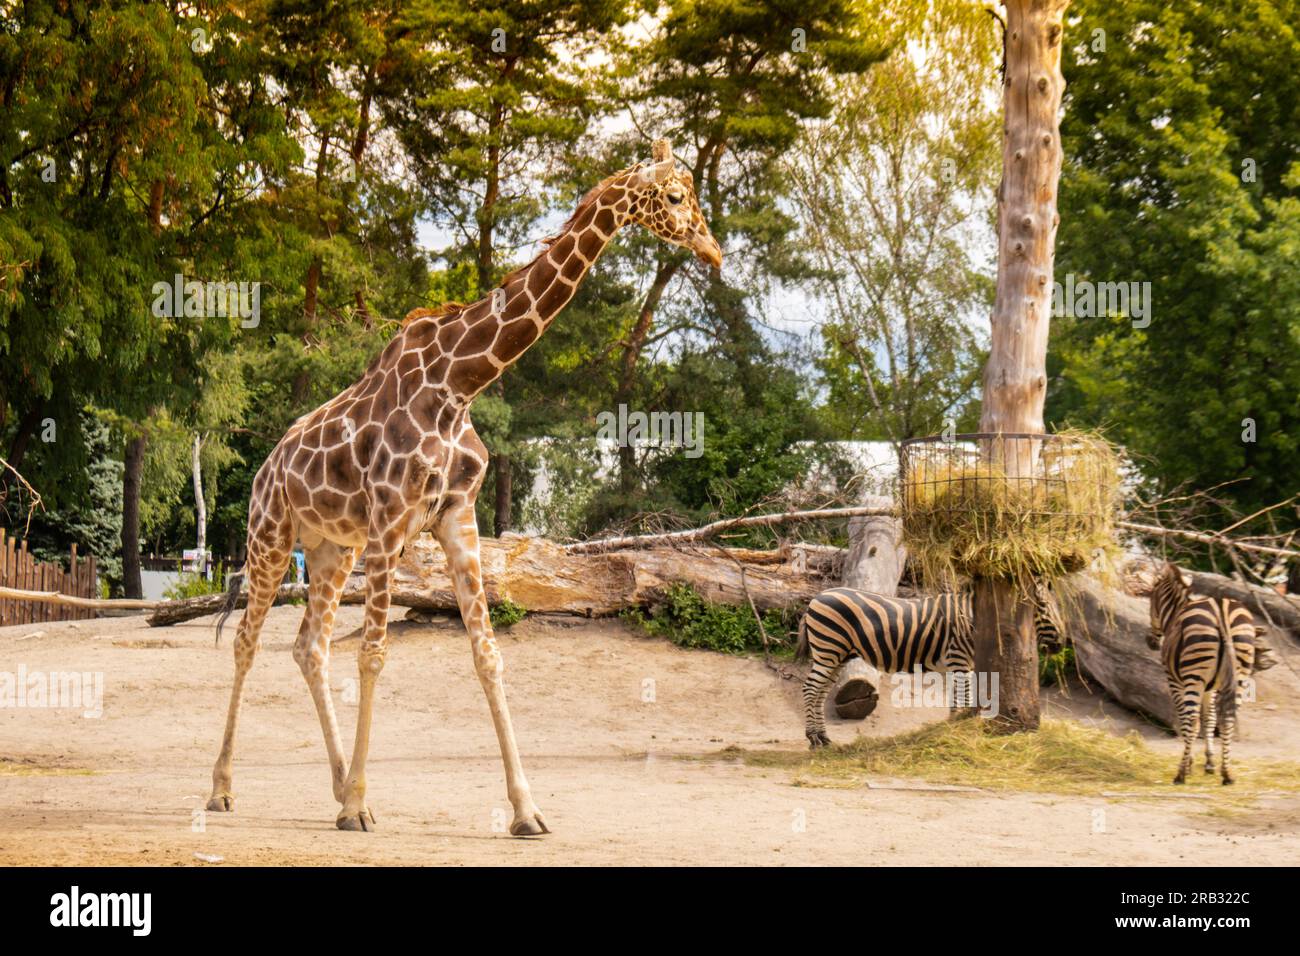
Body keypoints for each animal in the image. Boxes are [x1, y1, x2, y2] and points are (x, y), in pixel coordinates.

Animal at [207, 139, 722, 835]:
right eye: (674, 196)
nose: (713, 250)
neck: (460, 384)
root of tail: (267, 467)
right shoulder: (391, 519)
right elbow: (375, 654)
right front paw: (363, 804)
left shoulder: (458, 516)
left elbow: (487, 653)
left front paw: (526, 810)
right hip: (270, 534)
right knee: (246, 641)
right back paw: (225, 790)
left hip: (330, 549)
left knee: (309, 647)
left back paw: (335, 788)